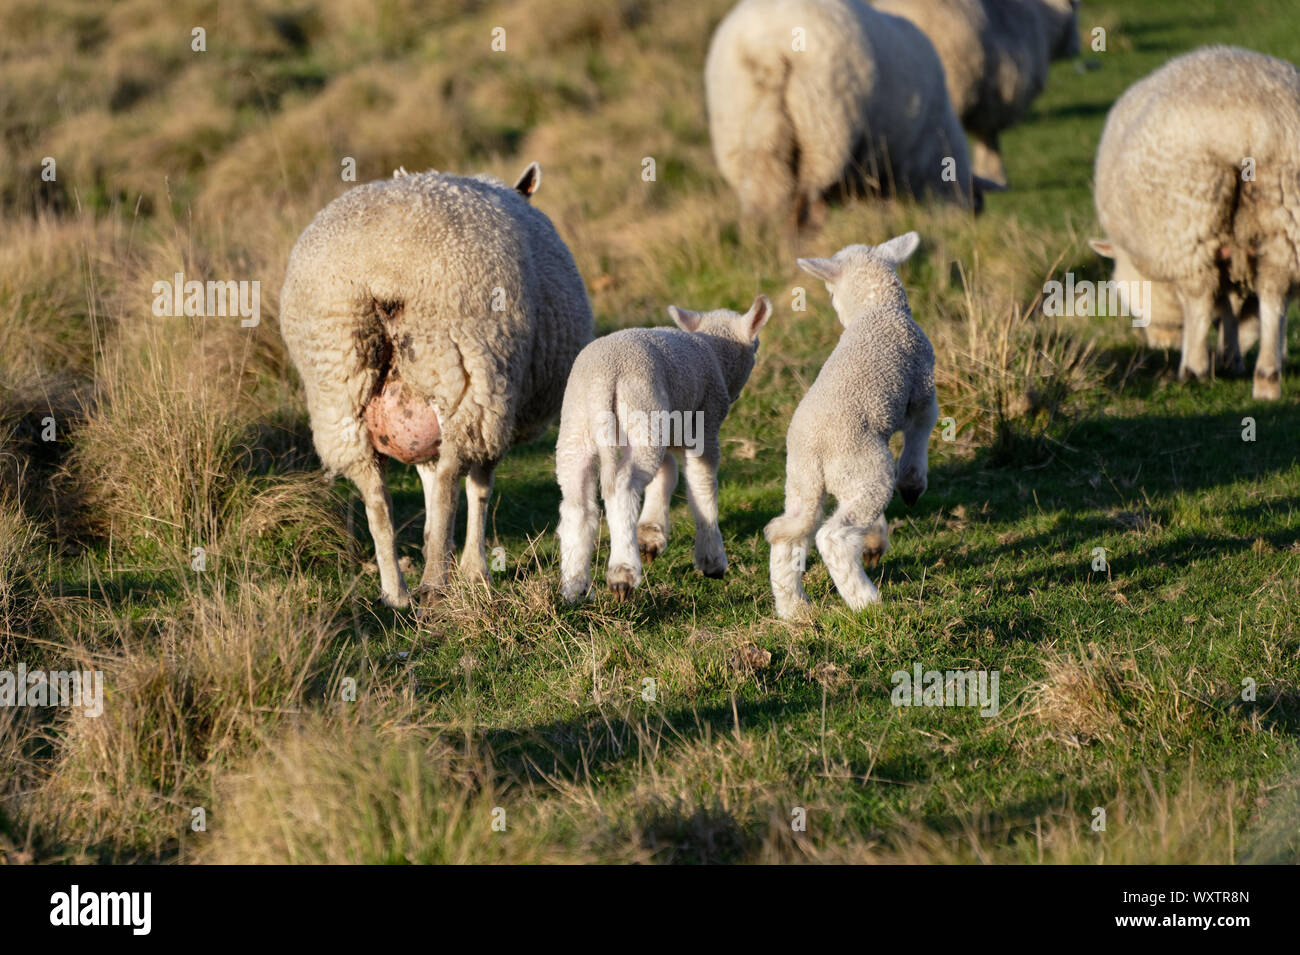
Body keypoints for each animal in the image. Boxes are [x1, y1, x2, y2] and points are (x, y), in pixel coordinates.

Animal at [279, 163, 594, 607]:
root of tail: (376, 272)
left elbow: (428, 481)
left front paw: (435, 546)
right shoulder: (499, 401)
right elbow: (479, 487)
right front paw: (473, 570)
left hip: (337, 375)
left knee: (376, 494)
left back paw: (396, 591)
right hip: (465, 367)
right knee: (449, 480)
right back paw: (435, 582)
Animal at [556, 295, 773, 603]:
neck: (714, 351)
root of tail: (603, 378)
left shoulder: (669, 430)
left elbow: (667, 475)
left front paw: (651, 535)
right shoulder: (703, 427)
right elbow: (702, 485)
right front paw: (711, 559)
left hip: (578, 428)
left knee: (576, 505)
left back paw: (574, 587)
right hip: (641, 410)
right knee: (622, 490)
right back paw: (622, 574)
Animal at [764, 232, 936, 620]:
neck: (876, 308)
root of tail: (814, 449)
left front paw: (875, 539)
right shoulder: (923, 389)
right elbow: (920, 435)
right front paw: (913, 484)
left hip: (803, 484)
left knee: (790, 537)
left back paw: (794, 609)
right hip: (867, 469)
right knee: (833, 538)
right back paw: (866, 601)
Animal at [1089, 46, 1300, 400]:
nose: (1160, 344)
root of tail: (1253, 122)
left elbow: (1213, 304)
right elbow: (1233, 305)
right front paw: (1232, 357)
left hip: (1189, 220)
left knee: (1199, 296)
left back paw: (1193, 369)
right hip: (1285, 211)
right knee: (1274, 291)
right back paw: (1268, 377)